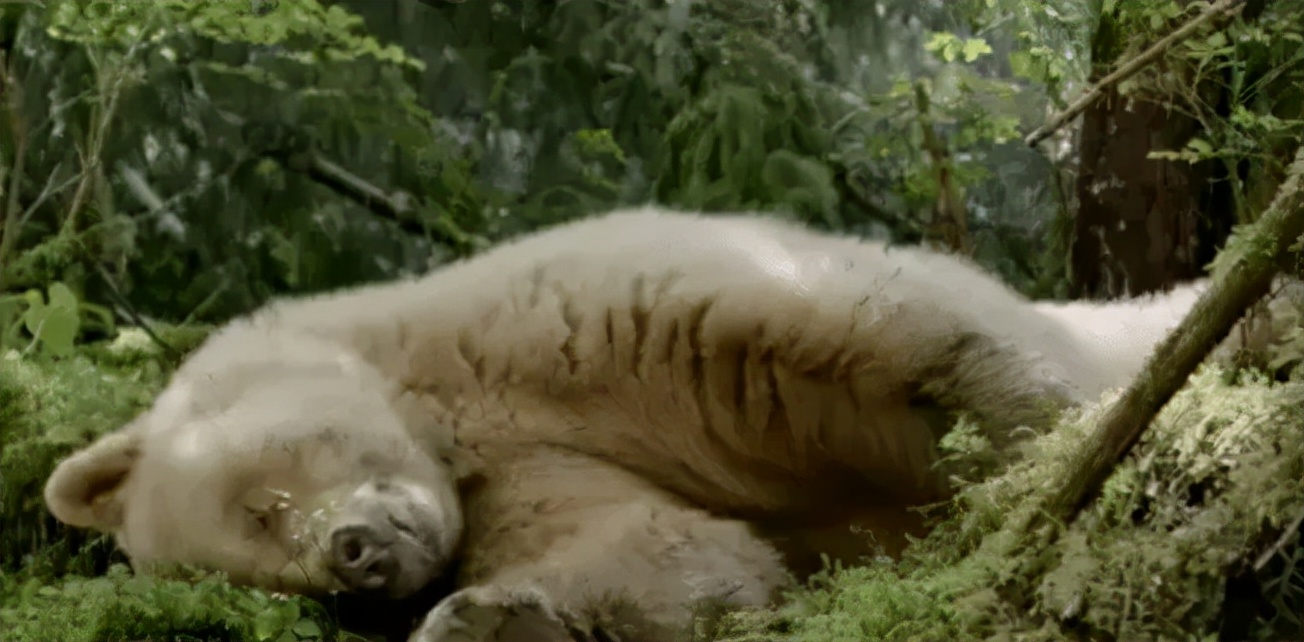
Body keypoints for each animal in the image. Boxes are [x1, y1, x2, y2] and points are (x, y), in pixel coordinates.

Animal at [43, 206, 1204, 642]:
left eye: (264, 495)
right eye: (266, 567)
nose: (354, 556)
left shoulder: (572, 323)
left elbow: (884, 327)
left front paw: (1048, 452)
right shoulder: (519, 477)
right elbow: (666, 547)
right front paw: (483, 618)